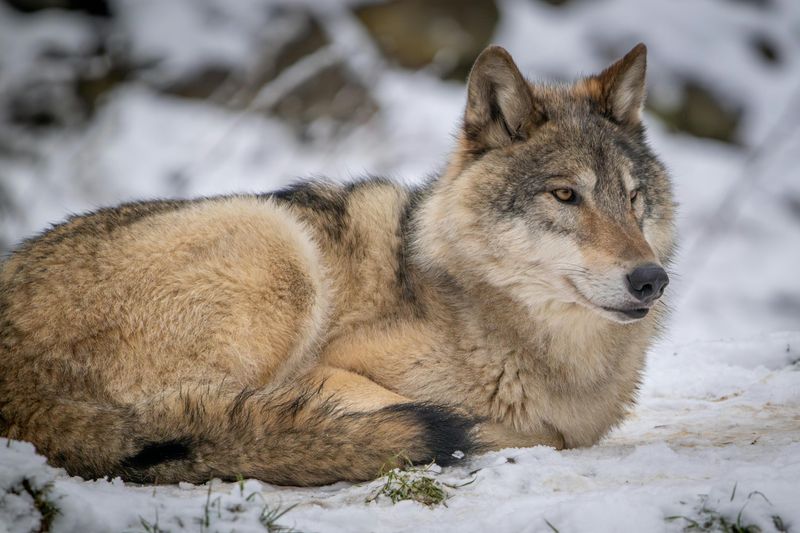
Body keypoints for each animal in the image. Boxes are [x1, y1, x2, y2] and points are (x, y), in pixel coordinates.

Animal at [0, 43, 675, 486]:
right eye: (565, 195)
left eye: (633, 199)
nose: (652, 280)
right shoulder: (332, 367)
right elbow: (518, 430)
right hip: (275, 247)